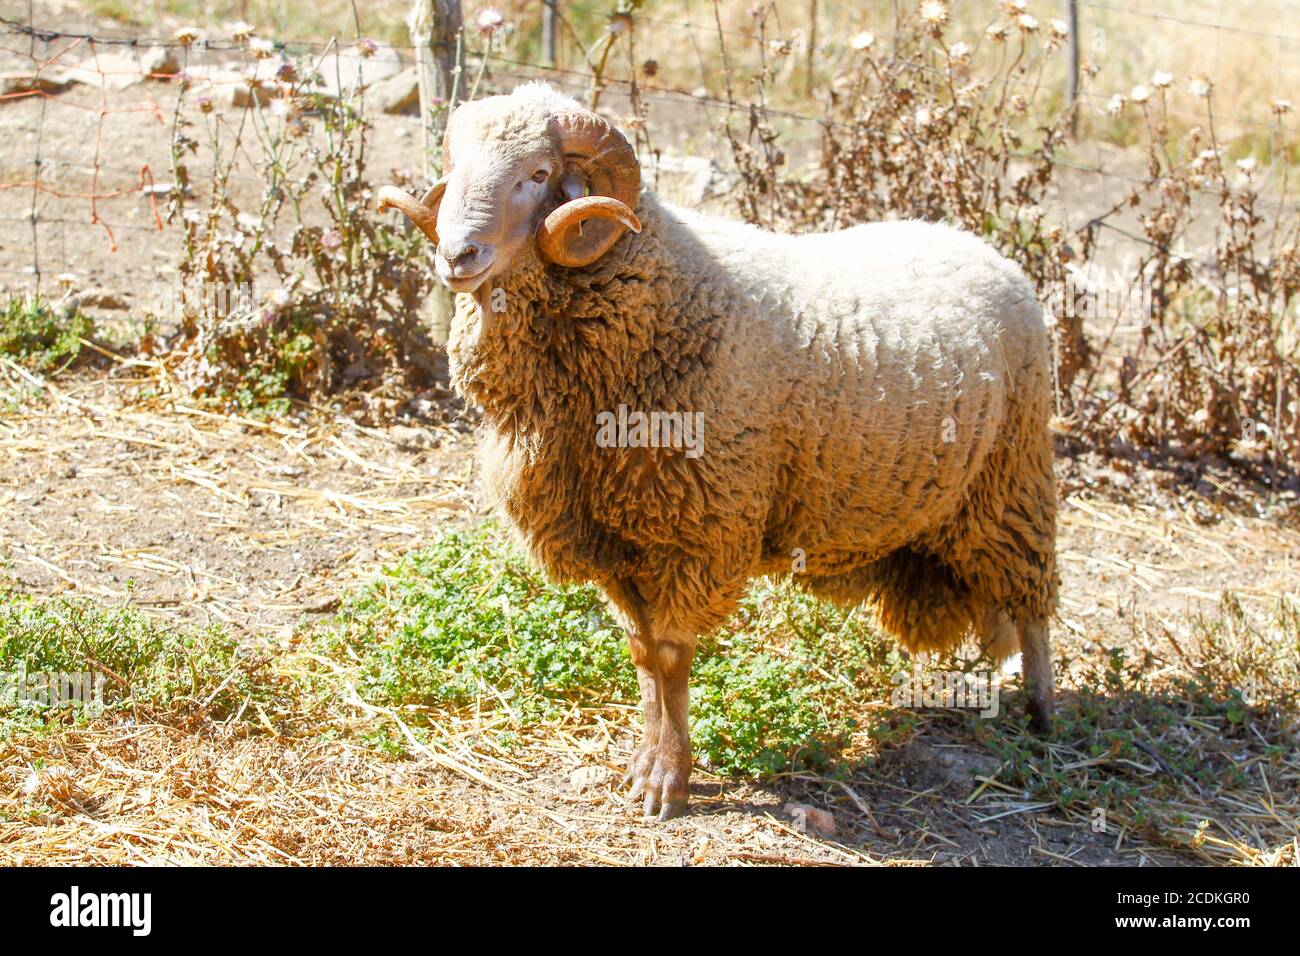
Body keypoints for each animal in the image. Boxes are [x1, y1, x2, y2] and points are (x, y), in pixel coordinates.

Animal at [377, 81, 1058, 820]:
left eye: (537, 174)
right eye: (457, 167)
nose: (457, 257)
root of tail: (984, 248)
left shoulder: (698, 529)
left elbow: (673, 658)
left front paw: (668, 781)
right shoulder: (617, 535)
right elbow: (643, 655)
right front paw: (645, 763)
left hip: (1015, 477)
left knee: (1032, 603)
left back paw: (1042, 714)